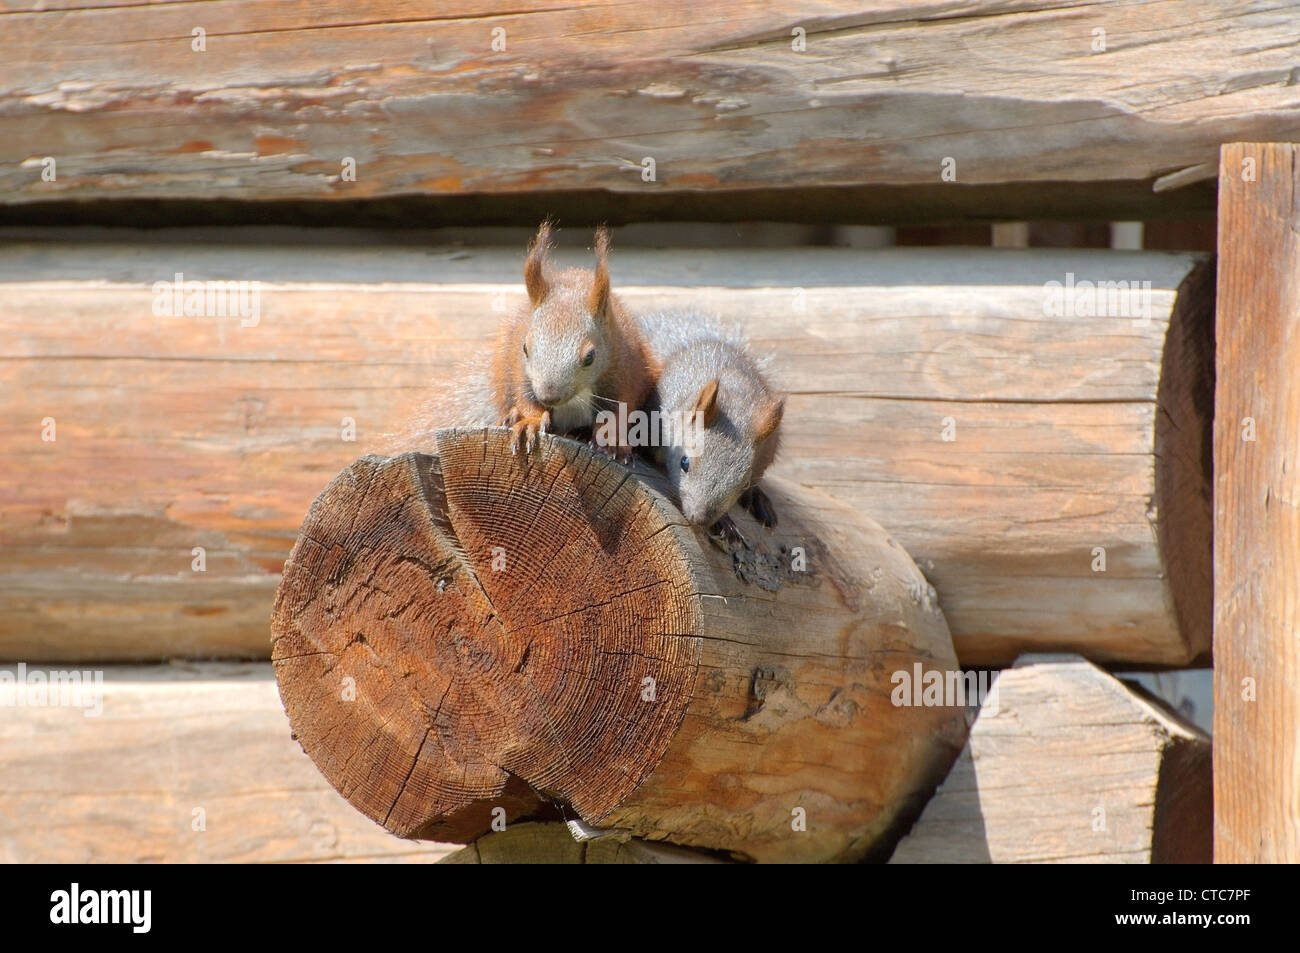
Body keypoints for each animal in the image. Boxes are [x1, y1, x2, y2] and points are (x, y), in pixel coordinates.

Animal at [491, 222, 653, 460]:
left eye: (590, 357)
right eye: (525, 348)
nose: (549, 397)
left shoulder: (625, 371)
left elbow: (618, 411)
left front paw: (612, 441)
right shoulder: (520, 372)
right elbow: (526, 398)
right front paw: (529, 422)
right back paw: (511, 417)